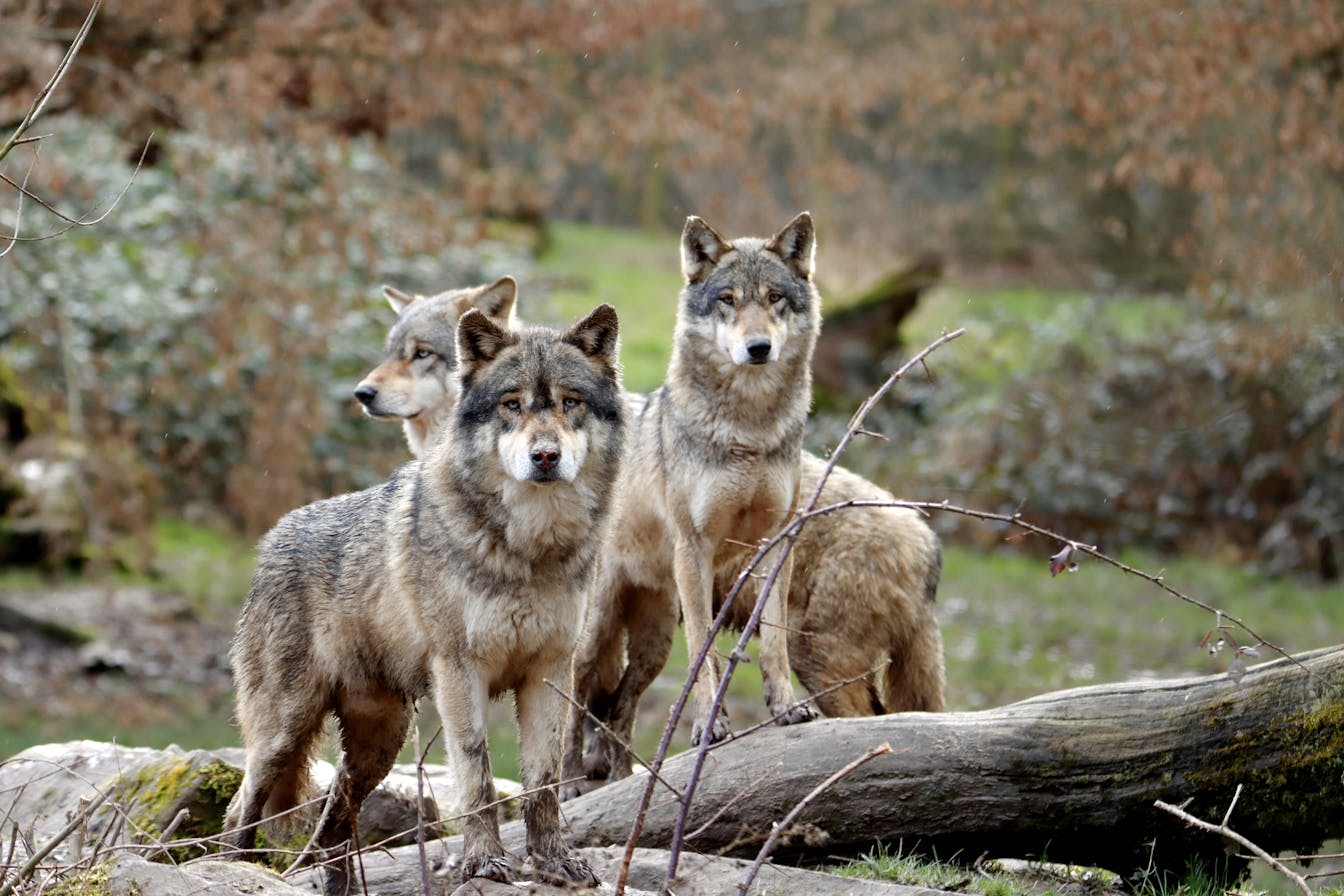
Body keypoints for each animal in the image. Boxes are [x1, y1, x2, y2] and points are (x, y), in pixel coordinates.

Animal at [222, 304, 623, 894]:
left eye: (570, 402)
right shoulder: (460, 672)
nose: (545, 457)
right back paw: (232, 869)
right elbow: (478, 776)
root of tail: (271, 539)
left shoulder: (550, 672)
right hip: (283, 733)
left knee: (332, 826)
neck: (528, 548)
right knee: (241, 810)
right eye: (512, 405)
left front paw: (553, 863)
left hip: (379, 744)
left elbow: (543, 783)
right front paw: (485, 861)